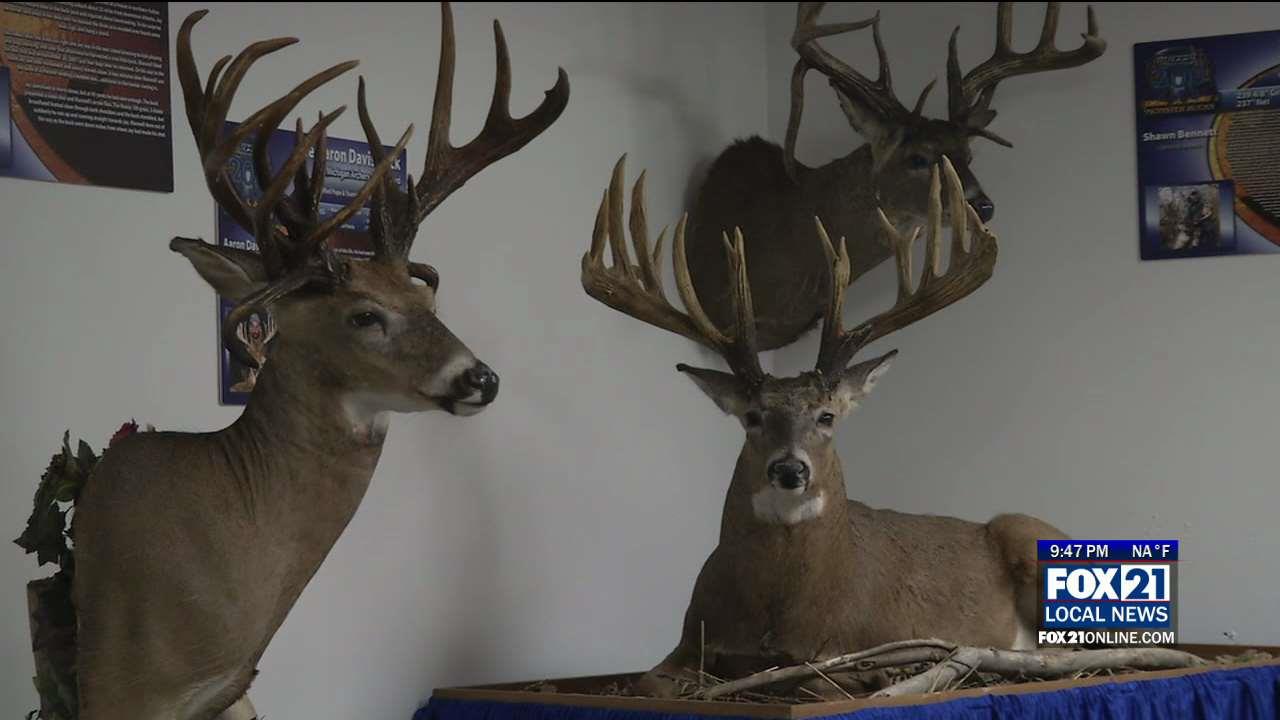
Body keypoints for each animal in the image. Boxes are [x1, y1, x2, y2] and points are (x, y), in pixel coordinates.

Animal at [581, 155, 1066, 699]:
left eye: (827, 415)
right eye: (752, 416)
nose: (790, 469)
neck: (780, 612)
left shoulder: (845, 647)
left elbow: (814, 685)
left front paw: (883, 671)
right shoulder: (689, 641)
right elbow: (648, 682)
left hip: (1030, 536)